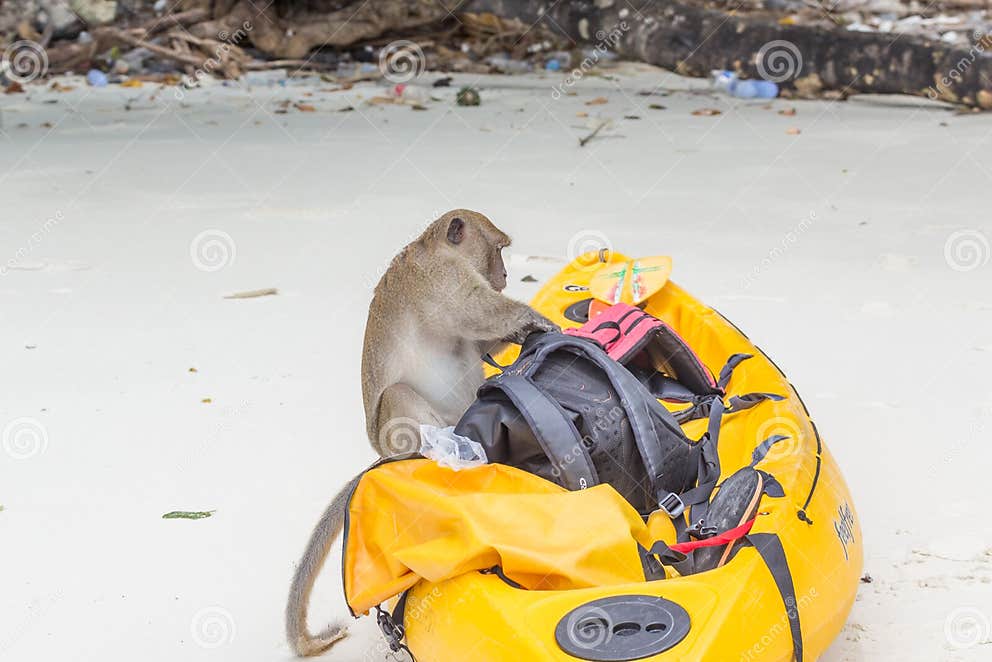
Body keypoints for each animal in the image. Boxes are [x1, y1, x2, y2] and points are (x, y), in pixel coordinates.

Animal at [286, 210, 559, 657]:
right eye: (498, 249)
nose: (503, 275)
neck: (433, 249)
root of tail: (386, 457)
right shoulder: (443, 279)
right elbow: (479, 311)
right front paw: (536, 320)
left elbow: (479, 342)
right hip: (399, 434)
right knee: (399, 394)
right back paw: (440, 450)